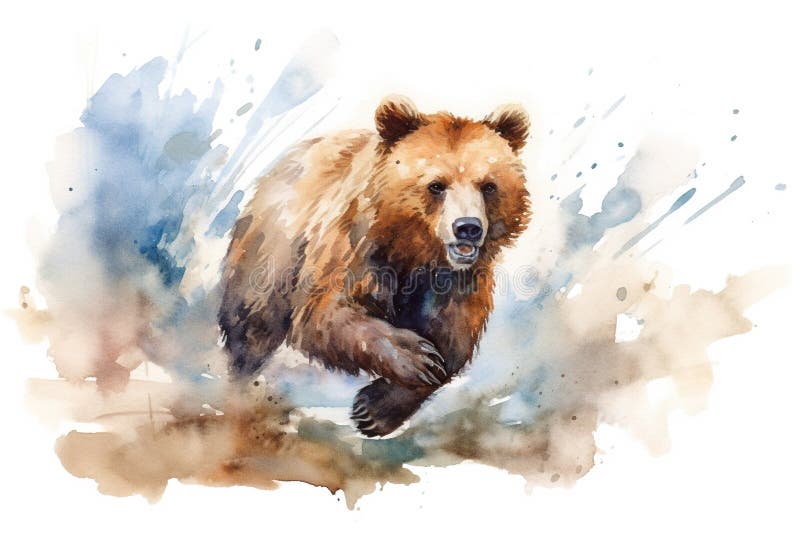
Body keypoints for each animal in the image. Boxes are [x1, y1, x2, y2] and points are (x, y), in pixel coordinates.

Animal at [219, 95, 531, 437]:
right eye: (437, 185)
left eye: (488, 185)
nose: (468, 228)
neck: (414, 250)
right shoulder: (355, 248)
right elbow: (327, 314)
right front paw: (417, 358)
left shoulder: (458, 280)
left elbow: (455, 338)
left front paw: (373, 410)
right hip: (272, 250)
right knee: (252, 325)